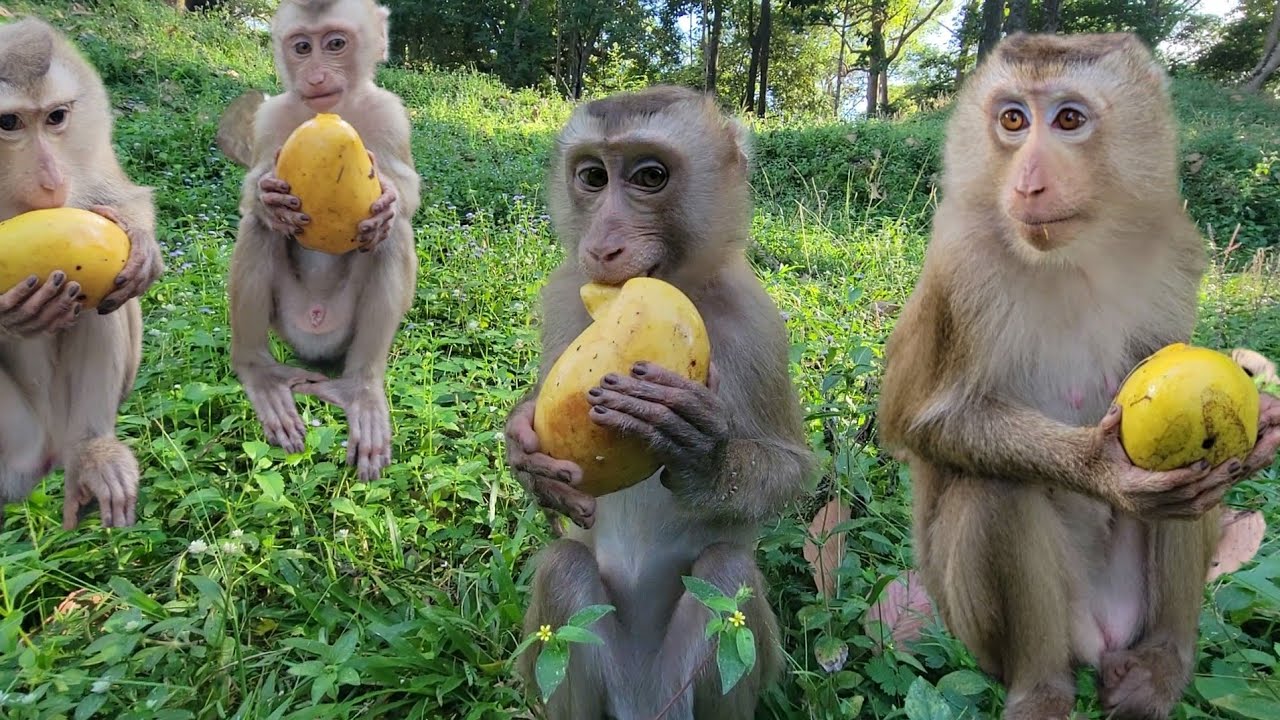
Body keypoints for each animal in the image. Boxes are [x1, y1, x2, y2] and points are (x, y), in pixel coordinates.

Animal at [0, 17, 164, 530]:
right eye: (8, 123)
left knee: (102, 300)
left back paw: (91, 455)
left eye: (56, 117)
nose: (53, 180)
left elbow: (122, 197)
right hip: (15, 441)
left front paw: (142, 243)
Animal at [217, 0, 420, 481]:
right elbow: (252, 193)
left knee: (392, 236)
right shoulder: (273, 115)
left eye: (335, 44)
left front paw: (389, 196)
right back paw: (259, 372)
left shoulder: (389, 113)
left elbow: (408, 193)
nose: (314, 77)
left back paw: (360, 388)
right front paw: (268, 199)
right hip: (287, 322)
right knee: (258, 228)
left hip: (344, 328)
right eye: (302, 48)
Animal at [503, 86, 815, 719]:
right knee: (563, 567)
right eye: (593, 177)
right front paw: (525, 448)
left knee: (725, 573)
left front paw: (701, 454)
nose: (602, 247)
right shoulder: (562, 296)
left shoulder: (758, 323)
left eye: (650, 176)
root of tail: (644, 700)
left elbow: (789, 468)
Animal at [877, 33, 1280, 720]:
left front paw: (1268, 419)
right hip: (994, 634)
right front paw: (1101, 469)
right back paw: (1041, 689)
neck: (1071, 261)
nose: (1029, 184)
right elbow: (924, 425)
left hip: (1130, 605)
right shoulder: (962, 270)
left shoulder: (1172, 252)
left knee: (1205, 485)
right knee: (996, 486)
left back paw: (1160, 665)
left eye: (1069, 119)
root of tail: (1104, 641)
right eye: (1013, 120)